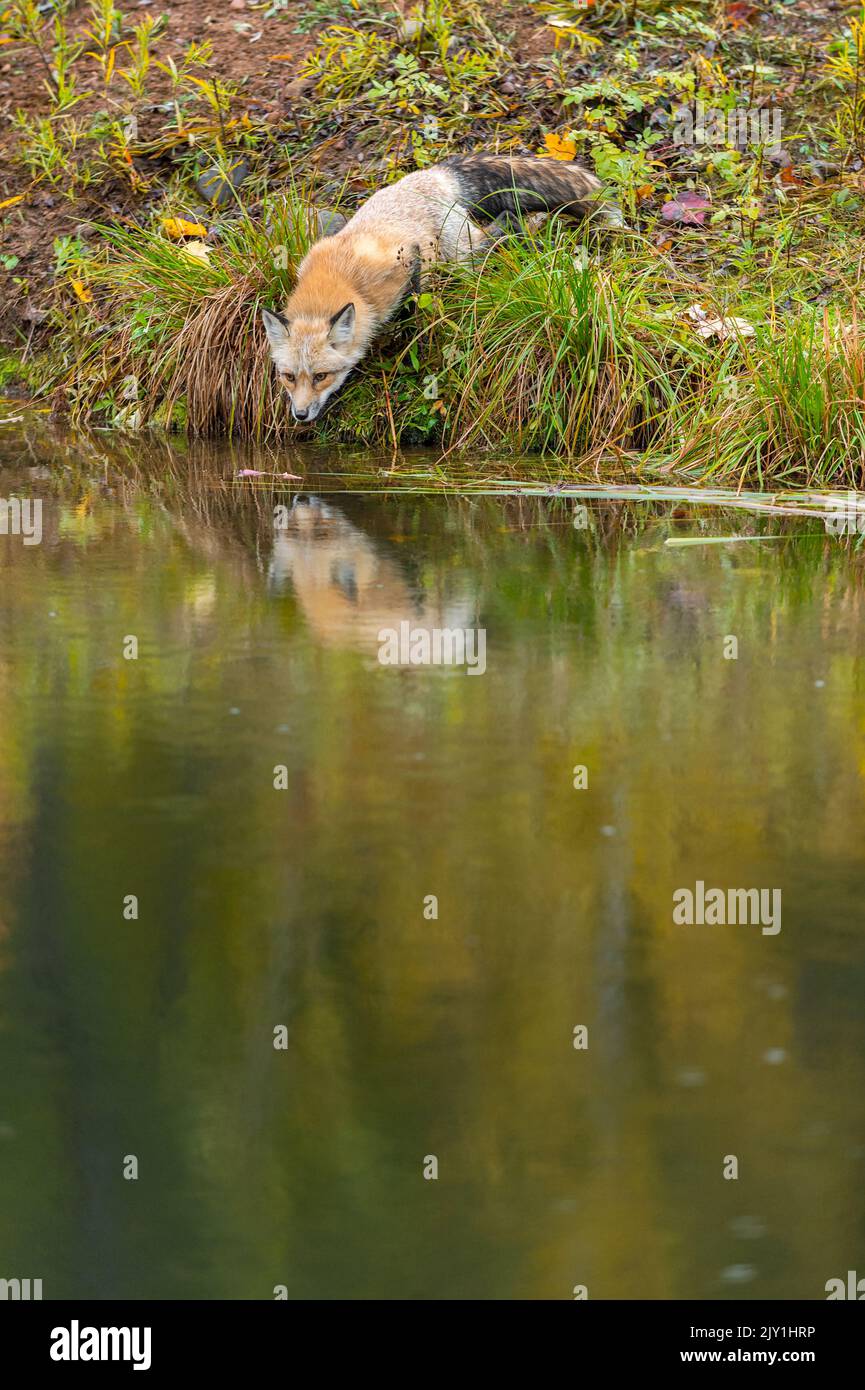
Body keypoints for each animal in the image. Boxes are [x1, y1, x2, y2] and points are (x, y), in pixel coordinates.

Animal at [261, 153, 607, 422]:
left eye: (321, 376)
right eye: (289, 377)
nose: (300, 415)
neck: (340, 278)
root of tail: (432, 174)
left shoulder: (409, 259)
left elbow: (414, 306)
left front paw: (408, 340)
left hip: (460, 252)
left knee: (502, 225)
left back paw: (525, 232)